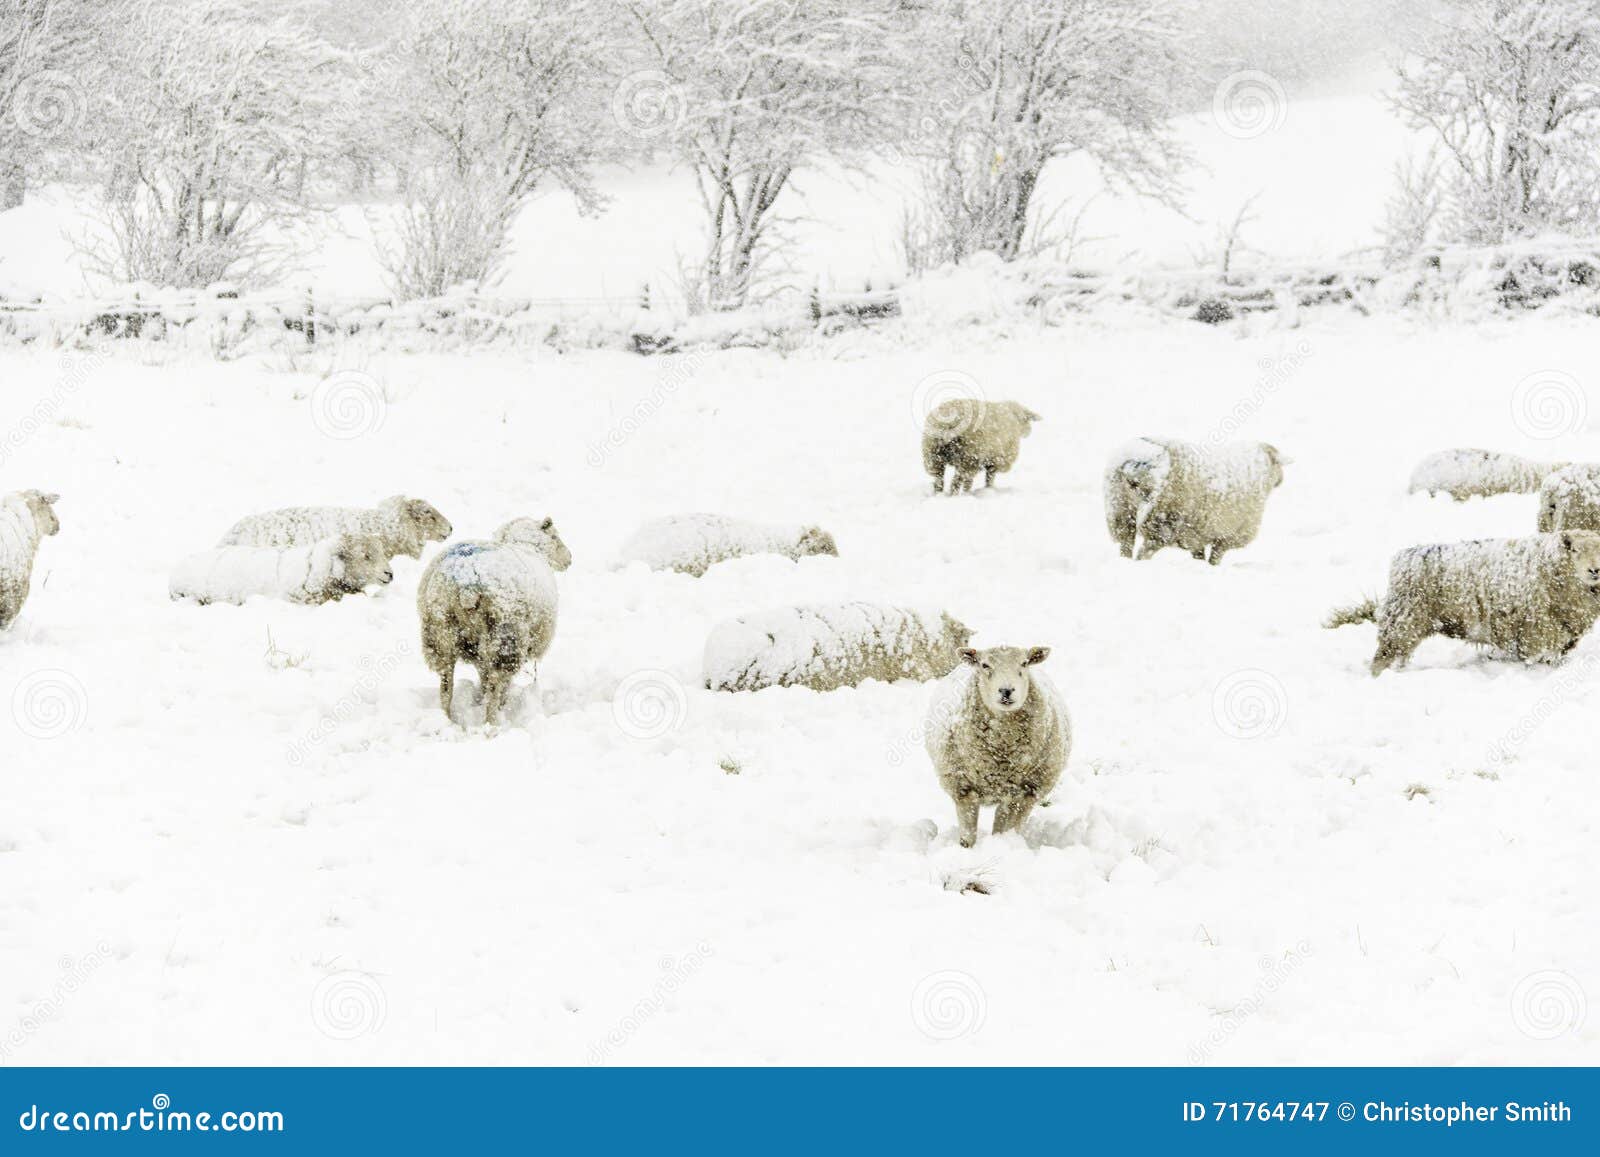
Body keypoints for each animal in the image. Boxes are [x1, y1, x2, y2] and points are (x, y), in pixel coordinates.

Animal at [417, 516, 572, 725]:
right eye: (555, 536)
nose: (569, 558)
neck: (526, 545)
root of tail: (466, 578)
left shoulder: (476, 651)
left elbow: (482, 674)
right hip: (505, 635)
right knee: (496, 684)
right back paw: (491, 722)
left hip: (439, 631)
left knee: (446, 682)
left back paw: (446, 718)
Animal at [925, 645, 1070, 848]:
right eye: (984, 665)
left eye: (1024, 663)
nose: (1006, 690)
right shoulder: (962, 789)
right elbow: (968, 836)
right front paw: (966, 849)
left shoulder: (1025, 793)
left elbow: (1007, 829)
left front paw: (1003, 845)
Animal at [1104, 437, 1285, 564]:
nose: (1281, 481)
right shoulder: (1228, 535)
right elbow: (1215, 559)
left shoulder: (1197, 534)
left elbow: (1199, 556)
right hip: (1161, 523)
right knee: (1144, 552)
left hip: (1120, 512)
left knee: (1126, 545)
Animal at [1325, 531, 1600, 674]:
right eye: (1575, 550)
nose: (1594, 570)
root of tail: (1403, 558)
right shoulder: (1535, 632)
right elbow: (1534, 660)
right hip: (1404, 619)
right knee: (1383, 656)